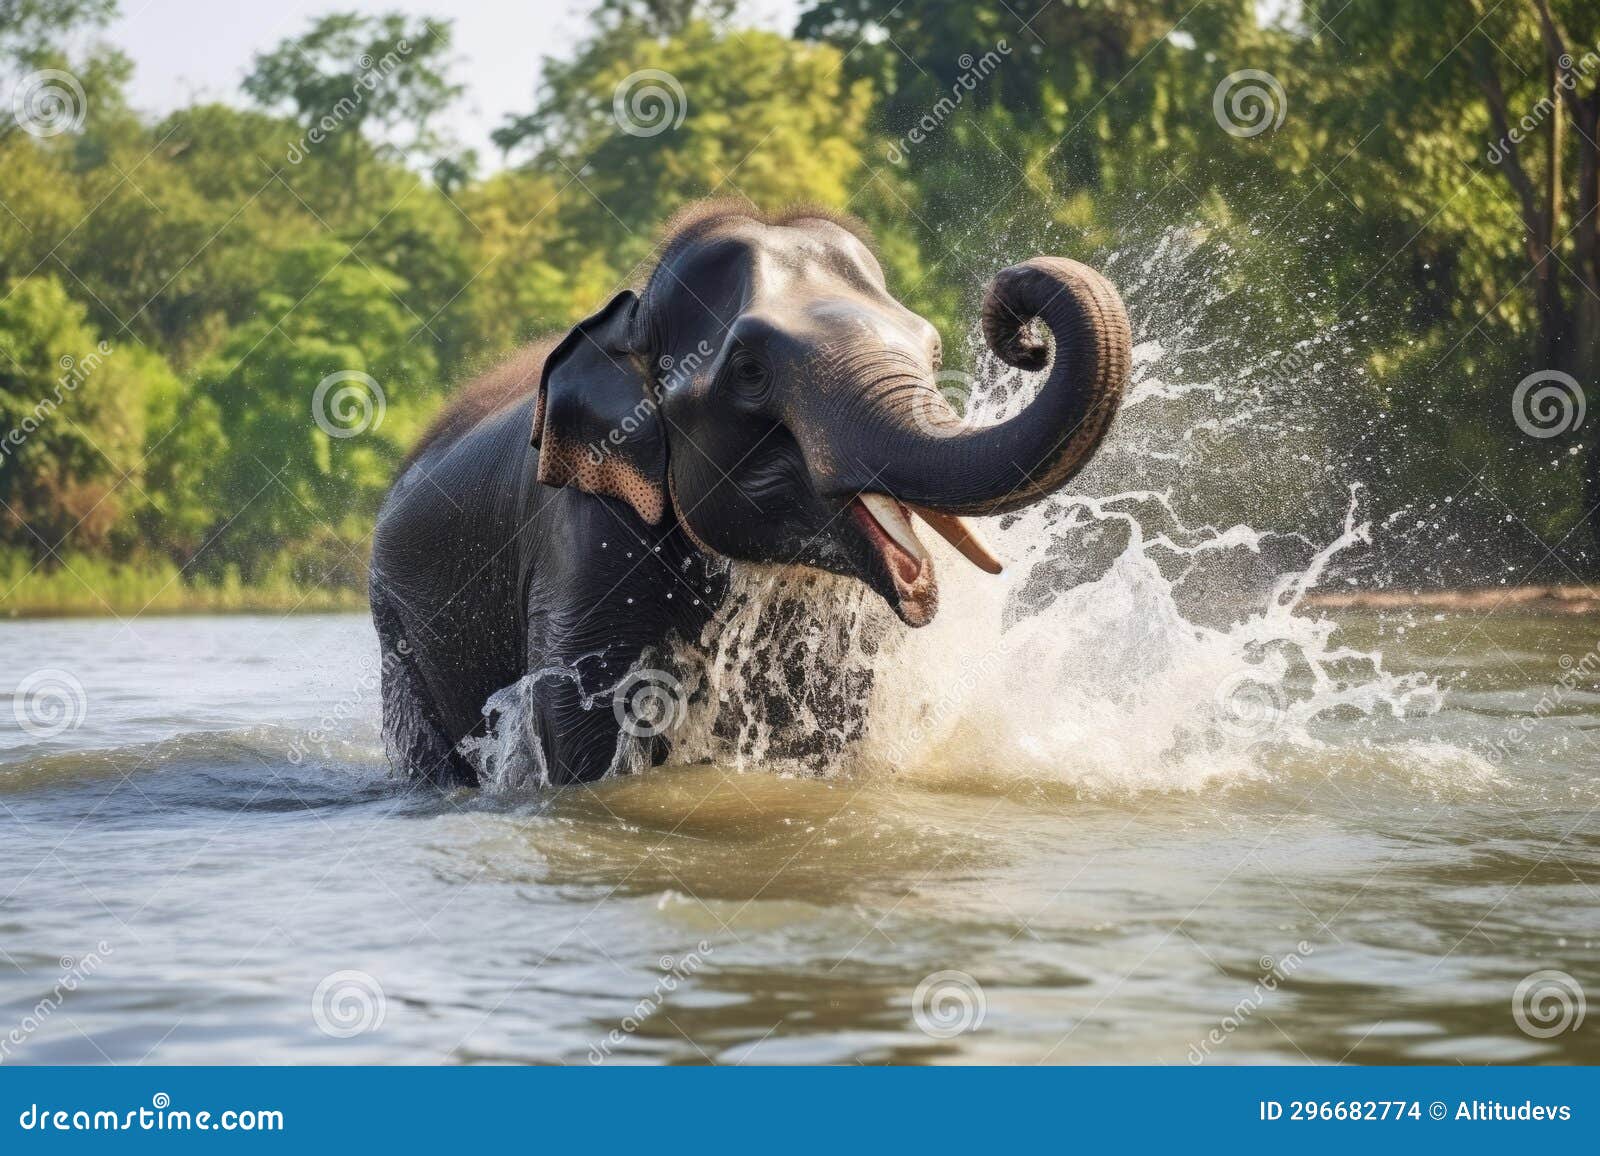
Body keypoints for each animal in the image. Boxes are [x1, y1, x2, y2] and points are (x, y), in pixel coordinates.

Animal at [369, 200, 1131, 786]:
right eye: (750, 371)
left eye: (934, 352)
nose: (1027, 334)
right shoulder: (584, 536)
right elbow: (580, 726)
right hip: (395, 629)